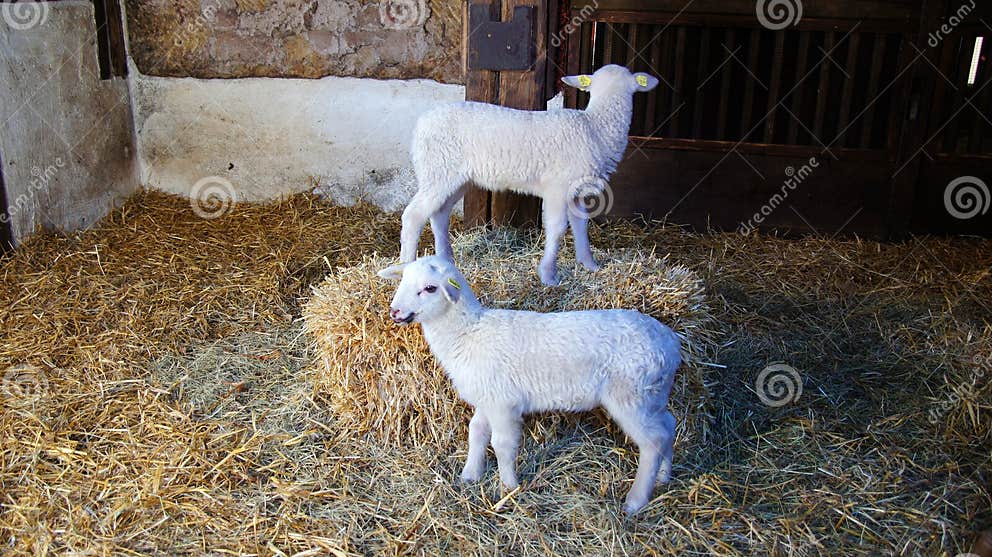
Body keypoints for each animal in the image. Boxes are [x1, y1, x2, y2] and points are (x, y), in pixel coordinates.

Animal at [378, 255, 681, 514]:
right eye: (403, 281)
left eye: (429, 288)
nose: (395, 311)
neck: (468, 333)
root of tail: (671, 343)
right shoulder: (486, 398)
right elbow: (476, 432)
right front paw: (470, 475)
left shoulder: (503, 403)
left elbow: (502, 444)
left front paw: (508, 487)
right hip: (654, 394)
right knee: (668, 426)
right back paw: (664, 476)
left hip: (631, 394)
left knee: (653, 441)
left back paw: (636, 501)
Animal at [398, 64, 660, 286]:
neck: (595, 127)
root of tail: (421, 123)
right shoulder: (557, 188)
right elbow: (557, 227)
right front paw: (548, 275)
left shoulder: (575, 190)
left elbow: (580, 224)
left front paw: (589, 263)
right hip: (438, 170)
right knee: (413, 215)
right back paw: (405, 266)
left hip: (454, 177)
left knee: (439, 214)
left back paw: (446, 261)